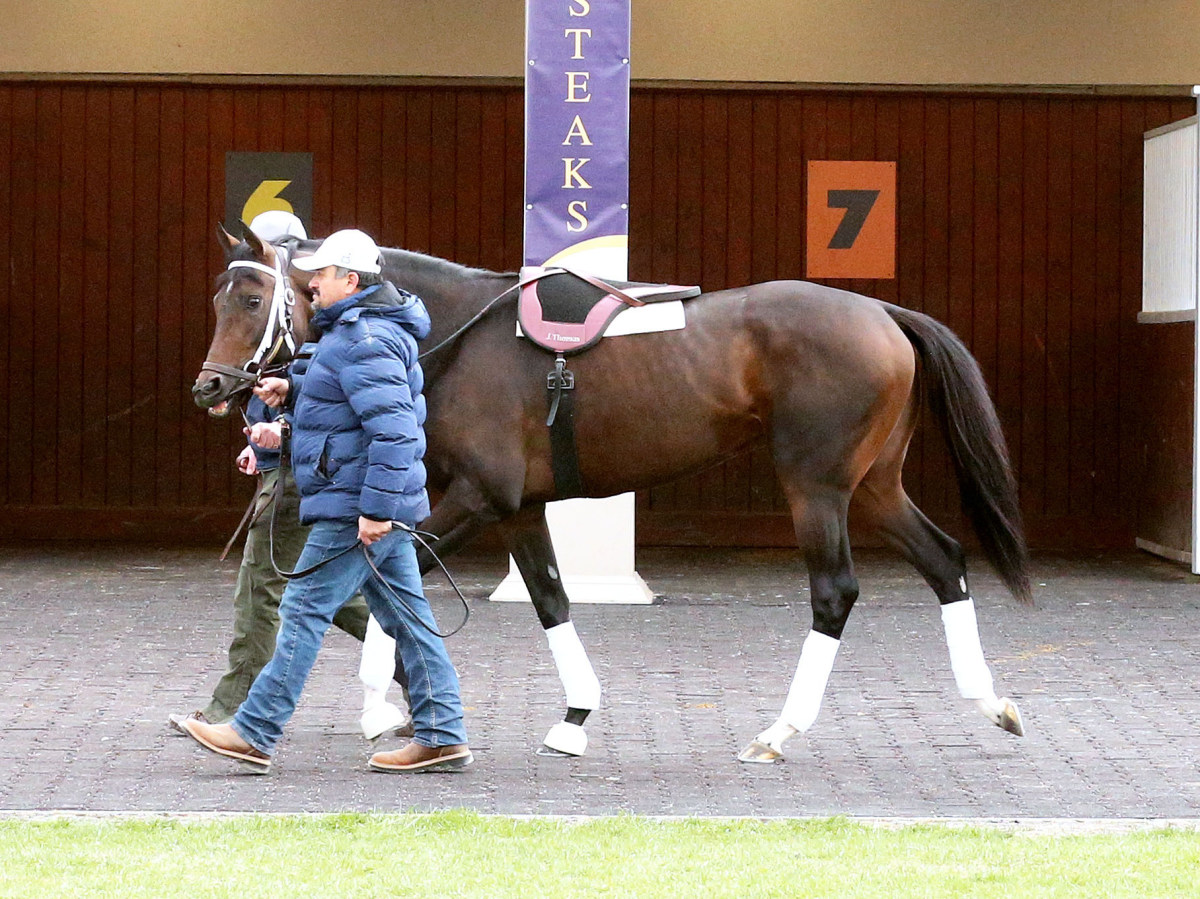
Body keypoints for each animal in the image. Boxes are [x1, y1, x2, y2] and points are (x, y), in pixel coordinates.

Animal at [194, 225, 1031, 763]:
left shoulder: (479, 496)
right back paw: (991, 700)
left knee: (835, 592)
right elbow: (548, 598)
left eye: (252, 301)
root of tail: (882, 311)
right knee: (946, 560)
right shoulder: (520, 508)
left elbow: (382, 585)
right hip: (874, 486)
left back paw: (779, 731)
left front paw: (380, 706)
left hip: (817, 486)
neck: (454, 330)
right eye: (218, 299)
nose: (211, 386)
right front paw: (573, 714)